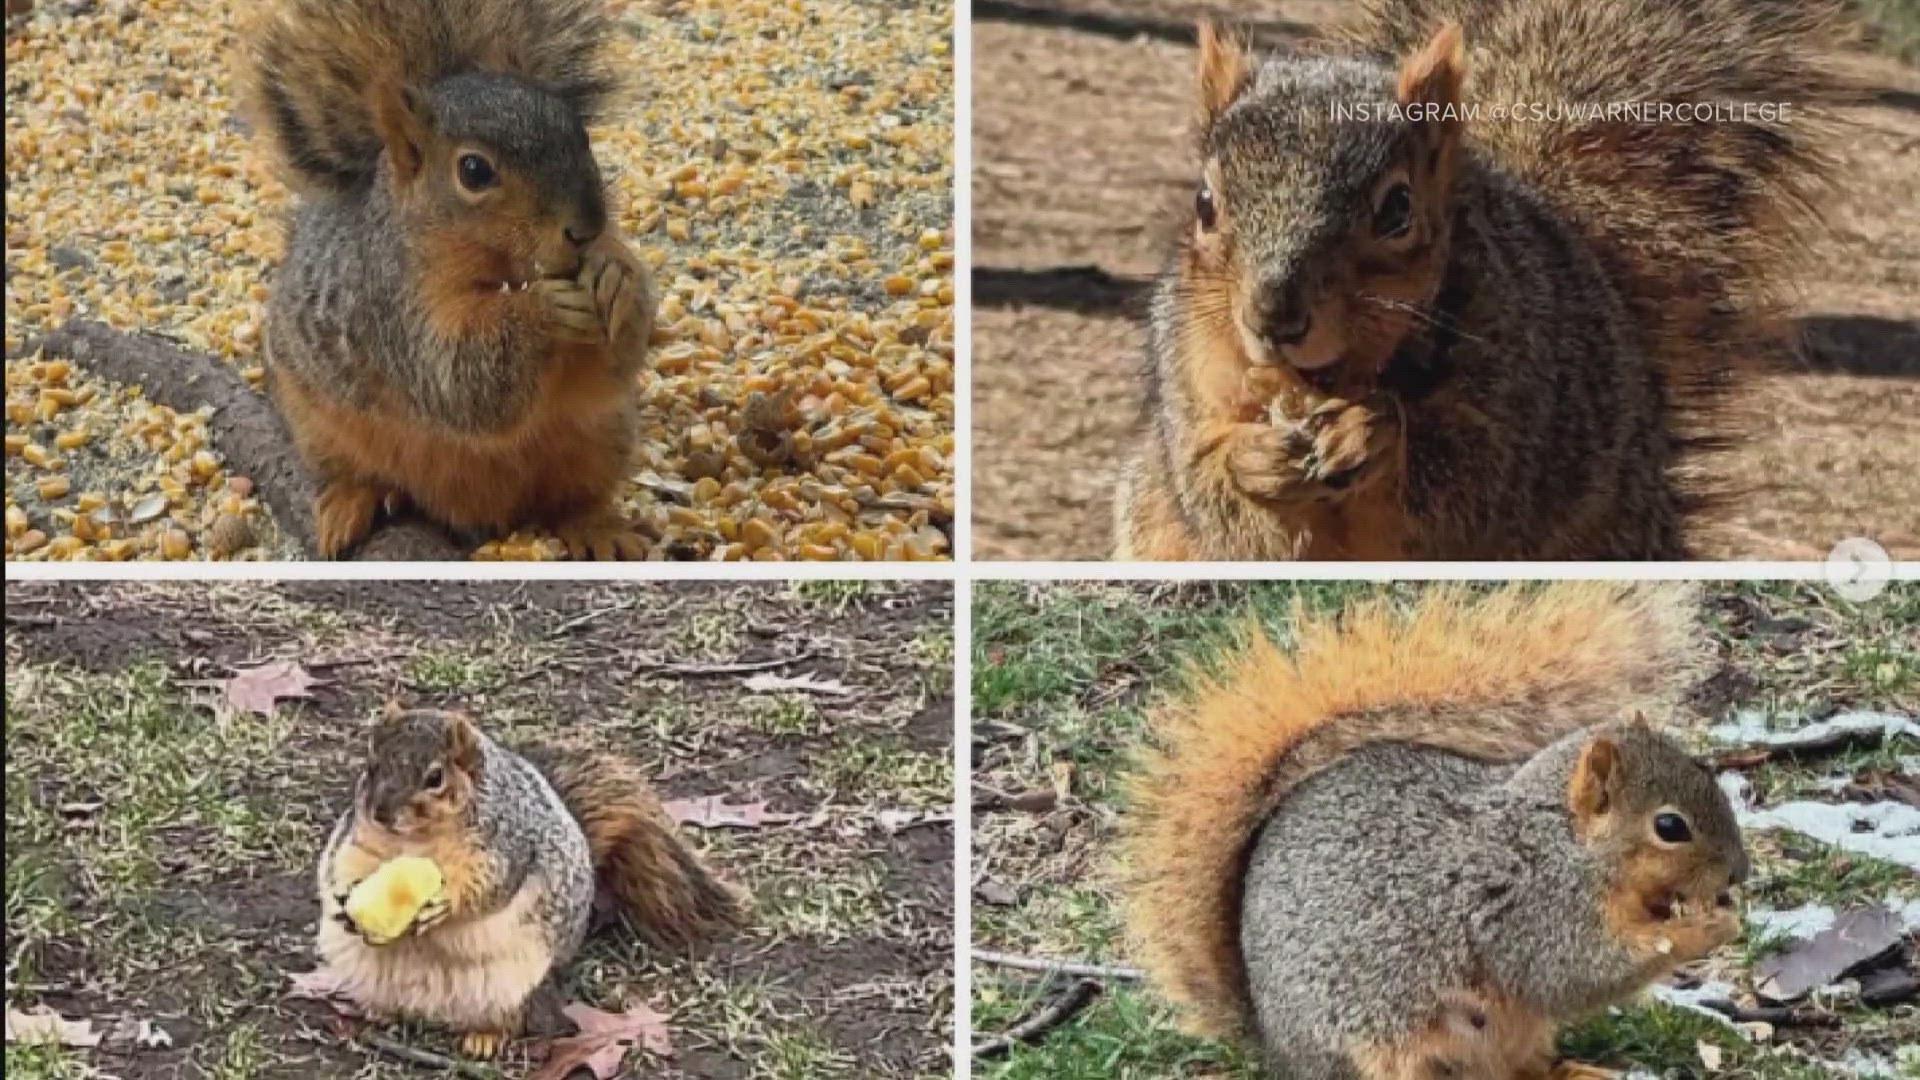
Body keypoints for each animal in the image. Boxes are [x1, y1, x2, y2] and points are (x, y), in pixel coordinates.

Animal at [238, 0, 658, 560]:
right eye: (475, 171)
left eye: (582, 135)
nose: (586, 228)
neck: (499, 269)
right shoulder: (389, 303)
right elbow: (456, 378)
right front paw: (542, 310)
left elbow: (614, 365)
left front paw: (618, 279)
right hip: (315, 425)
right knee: (355, 470)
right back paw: (352, 500)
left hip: (602, 438)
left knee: (573, 499)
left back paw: (597, 528)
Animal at [316, 705, 746, 1058]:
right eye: (370, 766)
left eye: (435, 777)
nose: (381, 812)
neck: (416, 840)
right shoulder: (360, 839)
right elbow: (346, 863)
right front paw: (342, 898)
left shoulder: (505, 846)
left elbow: (485, 885)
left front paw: (445, 902)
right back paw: (376, 1013)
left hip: (513, 988)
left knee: (512, 1020)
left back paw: (484, 1038)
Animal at [1114, 0, 1840, 560]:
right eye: (1205, 204)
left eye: (1397, 209)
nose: (1274, 319)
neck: (1326, 377)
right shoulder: (1190, 368)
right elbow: (1216, 499)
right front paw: (1252, 461)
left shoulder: (1518, 394)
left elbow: (1463, 491)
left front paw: (1373, 431)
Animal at [1120, 583, 1750, 1078]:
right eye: (1669, 826)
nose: (1738, 875)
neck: (1564, 843)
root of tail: (1279, 1052)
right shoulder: (1533, 909)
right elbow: (1573, 972)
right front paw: (1706, 929)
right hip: (1385, 1048)